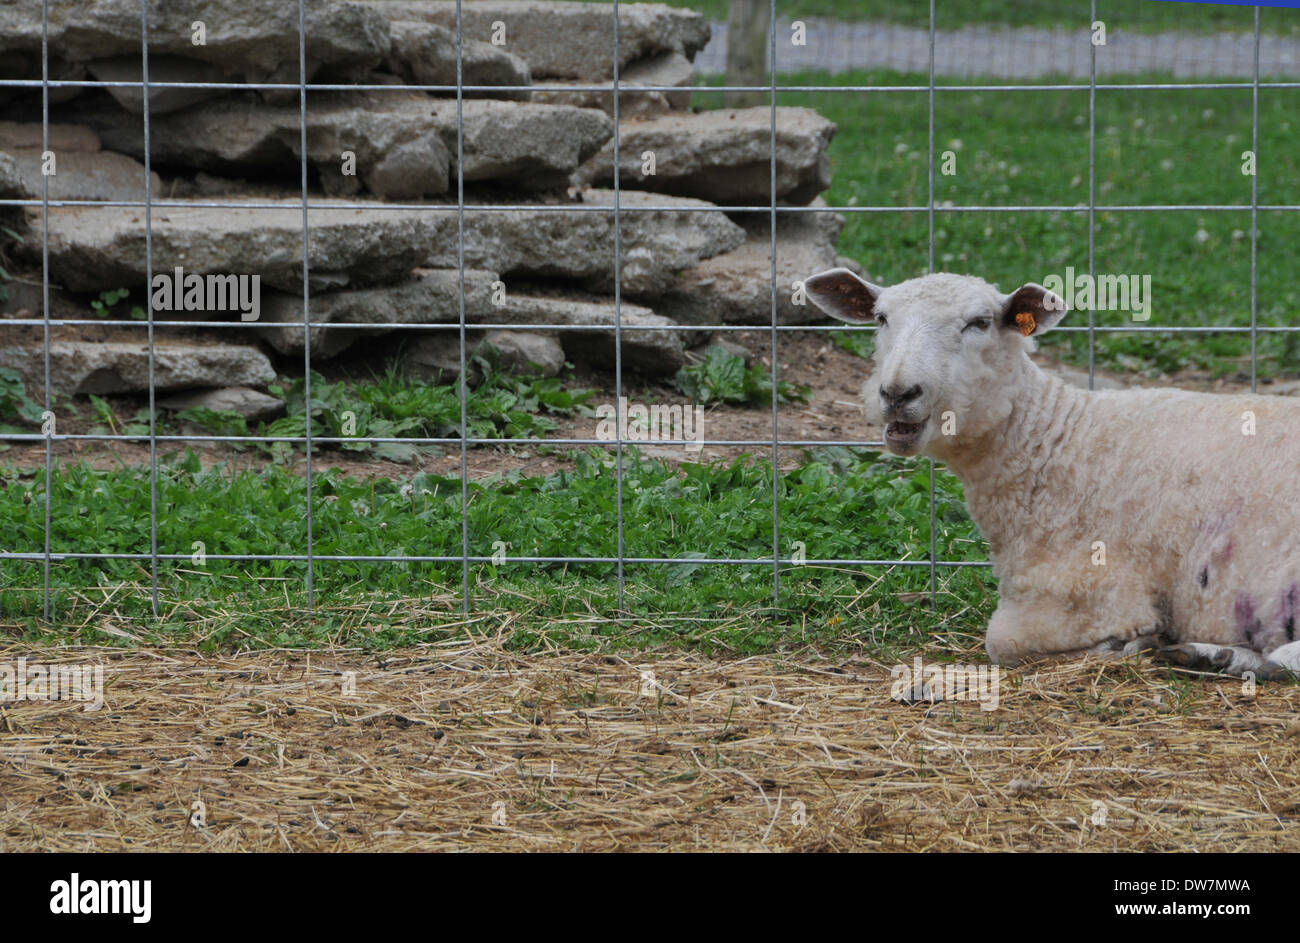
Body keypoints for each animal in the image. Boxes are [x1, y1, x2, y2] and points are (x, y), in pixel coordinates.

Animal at [803, 266, 1300, 679]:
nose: (898, 392)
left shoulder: (1094, 589)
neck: (1055, 443)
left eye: (979, 322)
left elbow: (1002, 640)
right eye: (881, 318)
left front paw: (1127, 643)